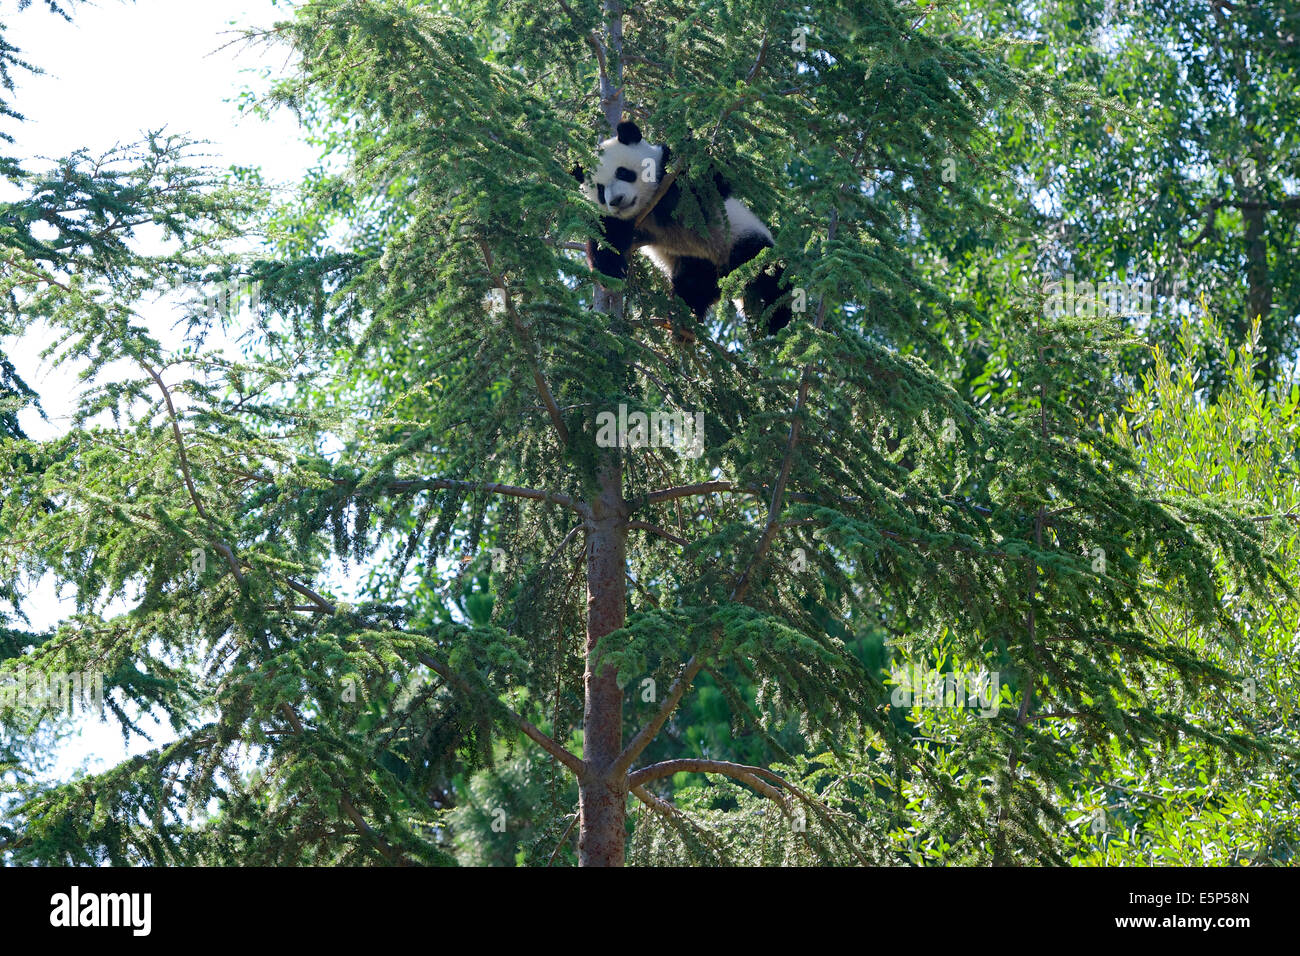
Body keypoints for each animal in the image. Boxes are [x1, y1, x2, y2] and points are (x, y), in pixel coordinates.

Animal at [571, 121, 791, 338]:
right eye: (600, 190)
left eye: (623, 173)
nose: (616, 201)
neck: (647, 206)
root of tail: (726, 275)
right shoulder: (614, 220)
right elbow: (606, 240)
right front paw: (612, 272)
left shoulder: (672, 169)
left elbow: (712, 179)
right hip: (695, 262)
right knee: (692, 287)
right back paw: (686, 318)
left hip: (742, 239)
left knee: (766, 273)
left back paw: (776, 317)